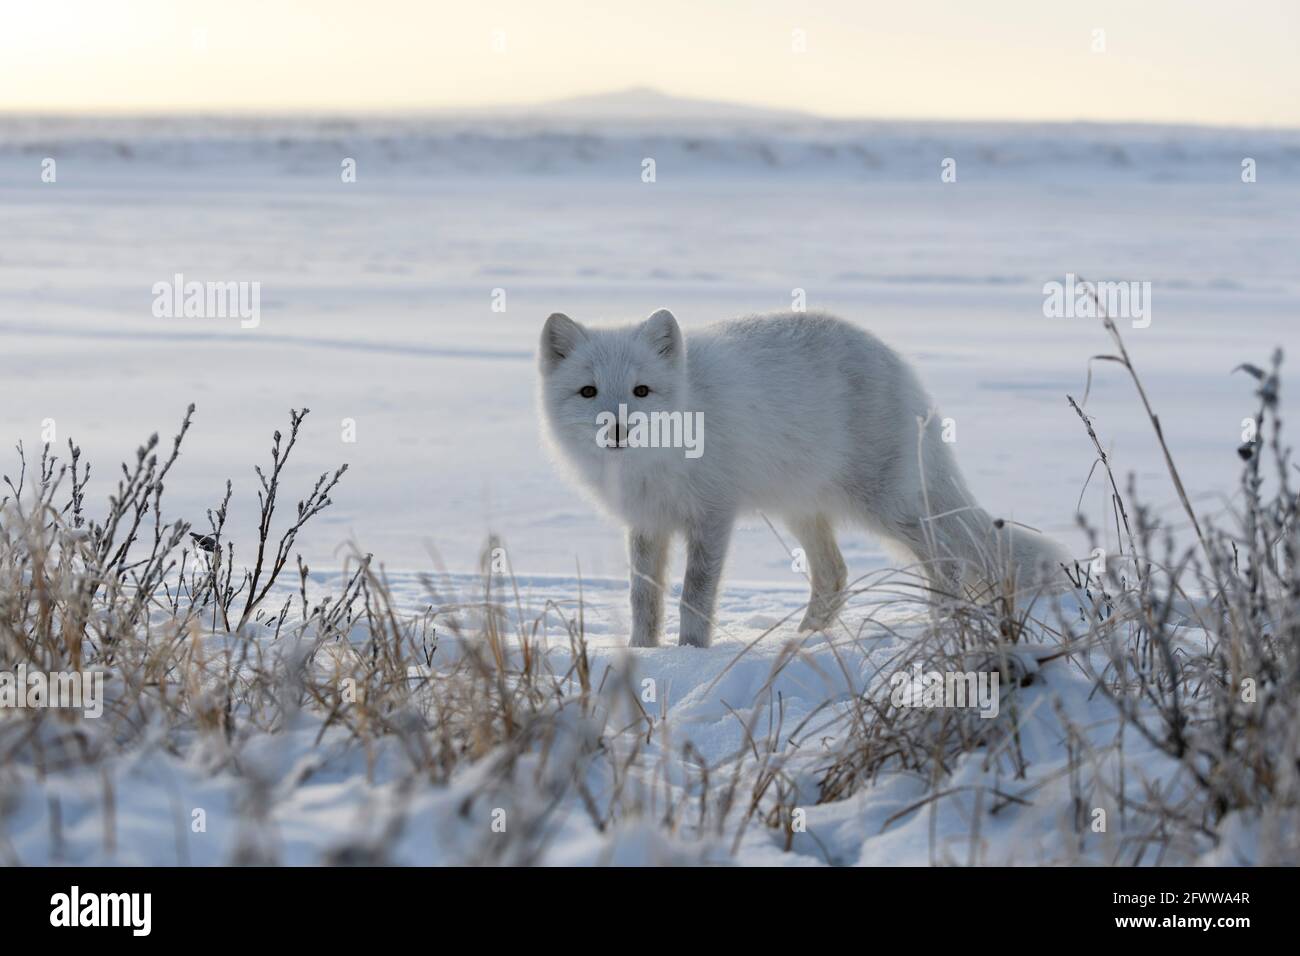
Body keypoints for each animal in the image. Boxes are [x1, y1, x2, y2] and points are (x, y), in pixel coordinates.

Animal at [538, 309, 1070, 648]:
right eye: (588, 392)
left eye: (641, 391)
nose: (618, 428)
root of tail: (900, 366)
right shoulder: (647, 523)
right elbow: (643, 597)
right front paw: (643, 653)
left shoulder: (712, 516)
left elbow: (694, 594)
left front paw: (690, 653)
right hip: (802, 508)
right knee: (834, 576)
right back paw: (802, 642)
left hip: (884, 506)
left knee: (948, 560)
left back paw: (940, 627)